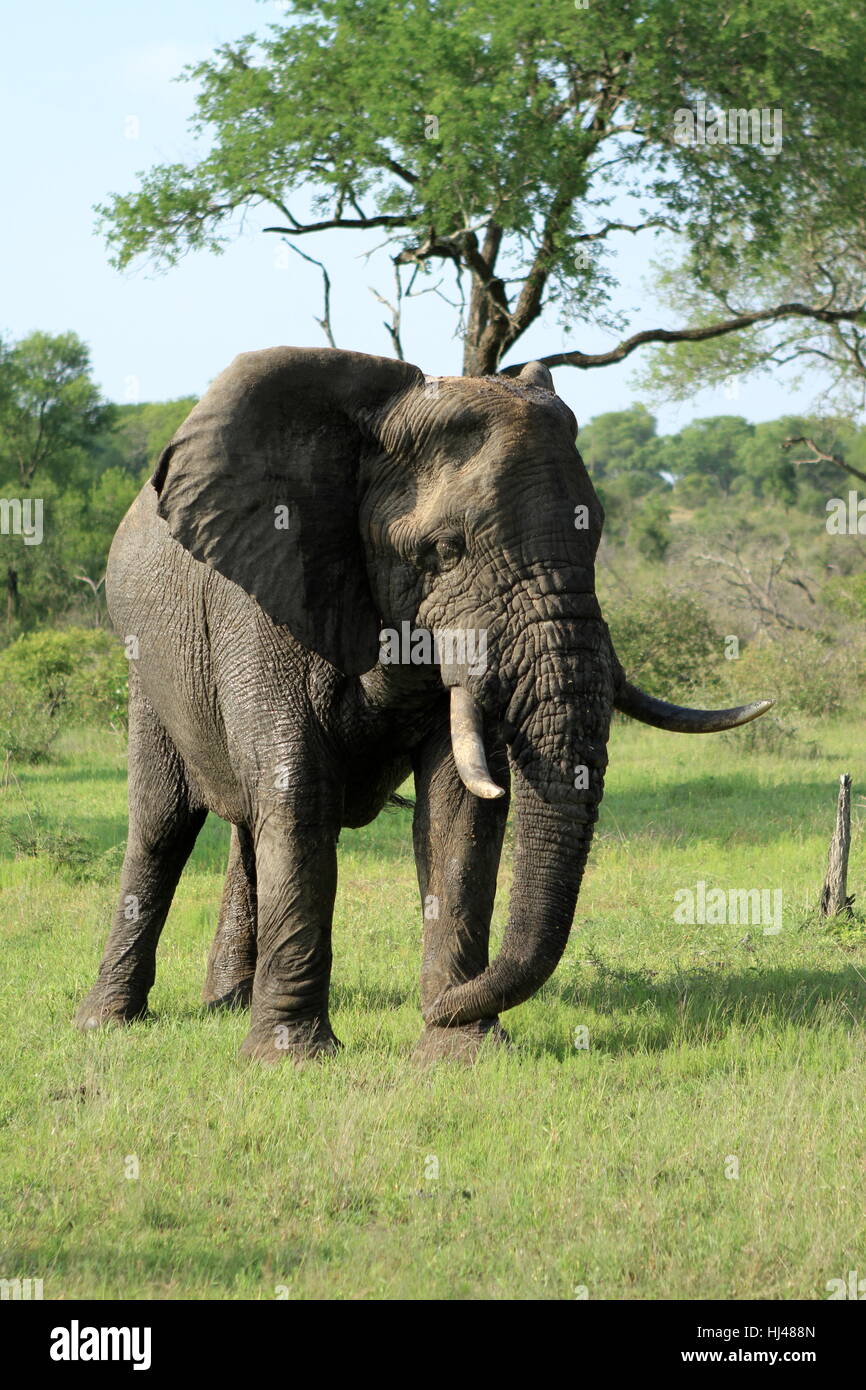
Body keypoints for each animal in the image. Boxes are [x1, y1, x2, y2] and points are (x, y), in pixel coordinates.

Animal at [74, 347, 772, 1062]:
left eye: (596, 536)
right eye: (443, 550)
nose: (437, 1008)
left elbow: (460, 807)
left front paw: (459, 1049)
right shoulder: (264, 594)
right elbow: (300, 791)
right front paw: (292, 1058)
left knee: (244, 825)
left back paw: (226, 1004)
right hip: (146, 667)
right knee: (162, 827)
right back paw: (107, 1022)